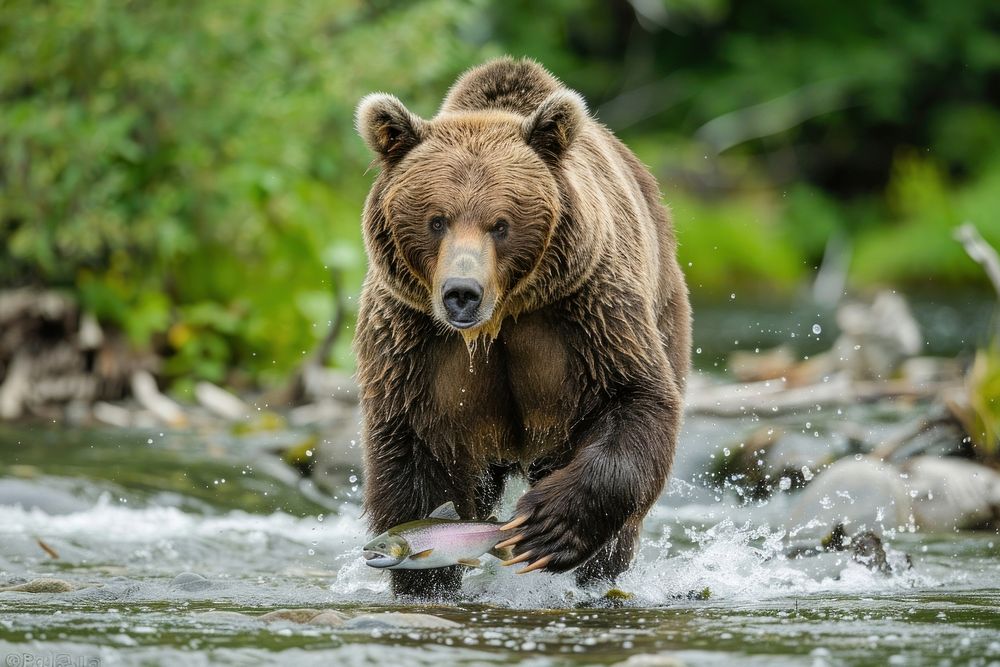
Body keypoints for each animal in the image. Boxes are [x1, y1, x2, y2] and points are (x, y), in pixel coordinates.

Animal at [354, 57, 691, 597]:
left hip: (664, 309)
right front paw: (430, 579)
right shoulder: (413, 341)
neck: (501, 319)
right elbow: (412, 450)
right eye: (437, 220)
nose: (462, 293)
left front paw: (548, 527)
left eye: (501, 224)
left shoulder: (586, 314)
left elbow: (636, 398)